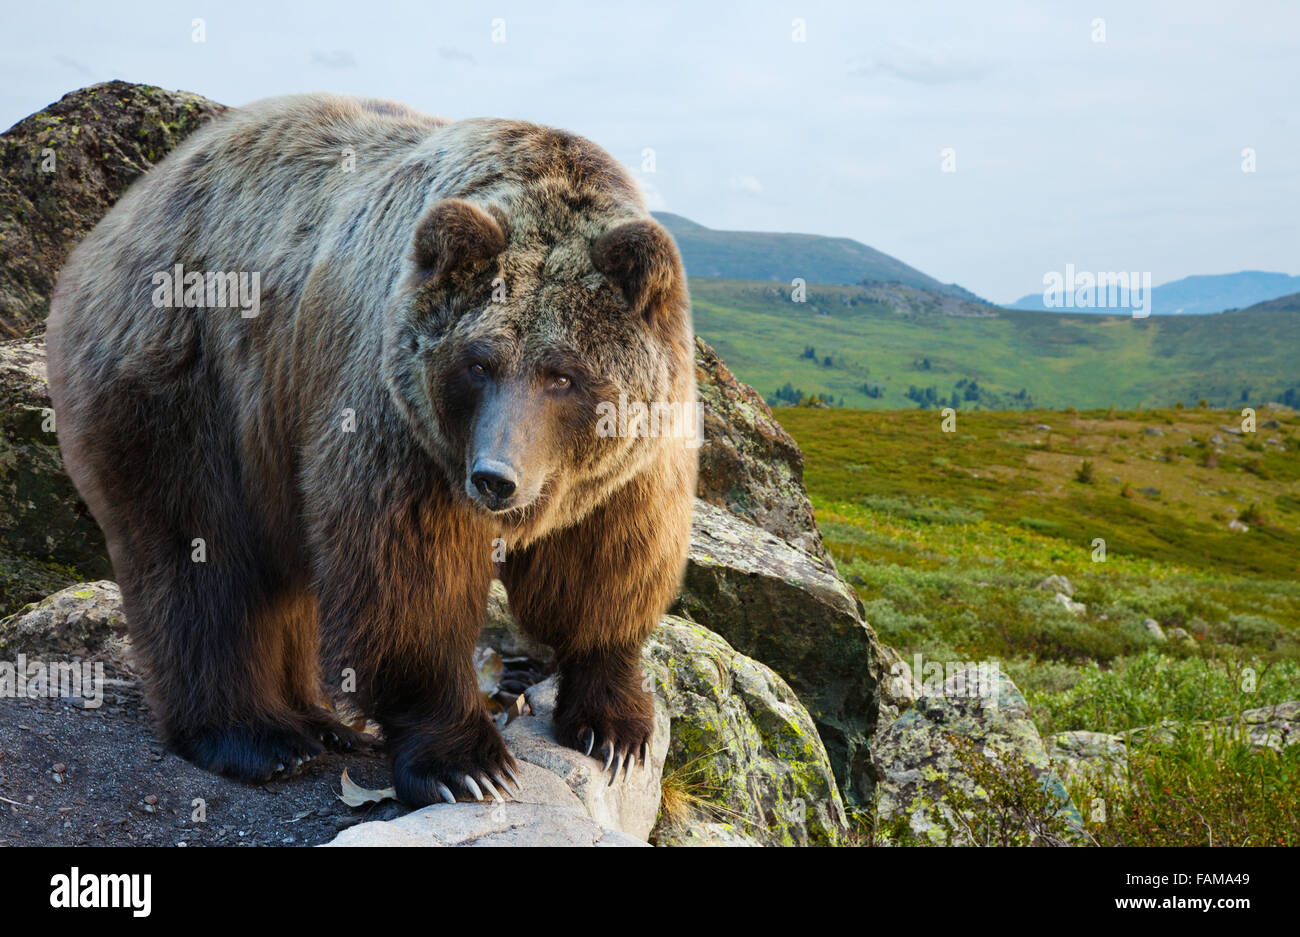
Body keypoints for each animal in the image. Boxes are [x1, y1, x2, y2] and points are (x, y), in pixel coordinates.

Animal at [44, 94, 698, 806]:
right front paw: (467, 763)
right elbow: (407, 582)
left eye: (563, 375)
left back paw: (320, 721)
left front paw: (614, 728)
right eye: (478, 363)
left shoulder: (629, 467)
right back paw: (258, 737)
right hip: (189, 378)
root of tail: (119, 215)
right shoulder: (402, 429)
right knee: (201, 553)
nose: (495, 478)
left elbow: (606, 570)